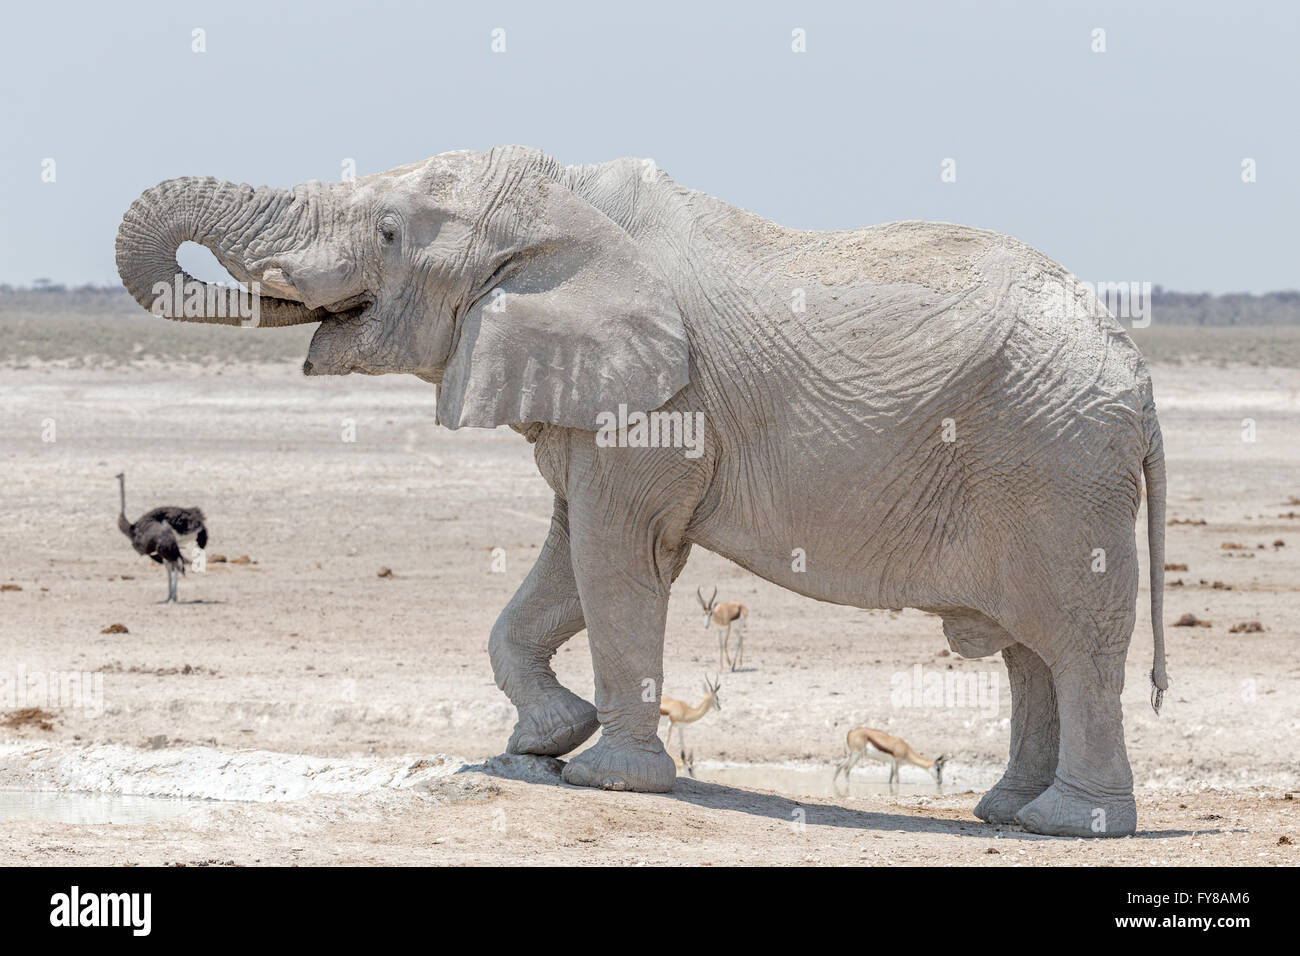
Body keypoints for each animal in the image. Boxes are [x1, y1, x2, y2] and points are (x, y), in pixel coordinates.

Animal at [116, 146, 1169, 837]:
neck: (560, 202)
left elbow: (615, 556)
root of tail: (1141, 376)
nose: (278, 289)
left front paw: (607, 779)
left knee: (1074, 643)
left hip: (1062, 467)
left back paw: (1073, 825)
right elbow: (565, 560)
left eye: (387, 231)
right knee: (1029, 650)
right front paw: (543, 740)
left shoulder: (663, 403)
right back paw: (1010, 813)